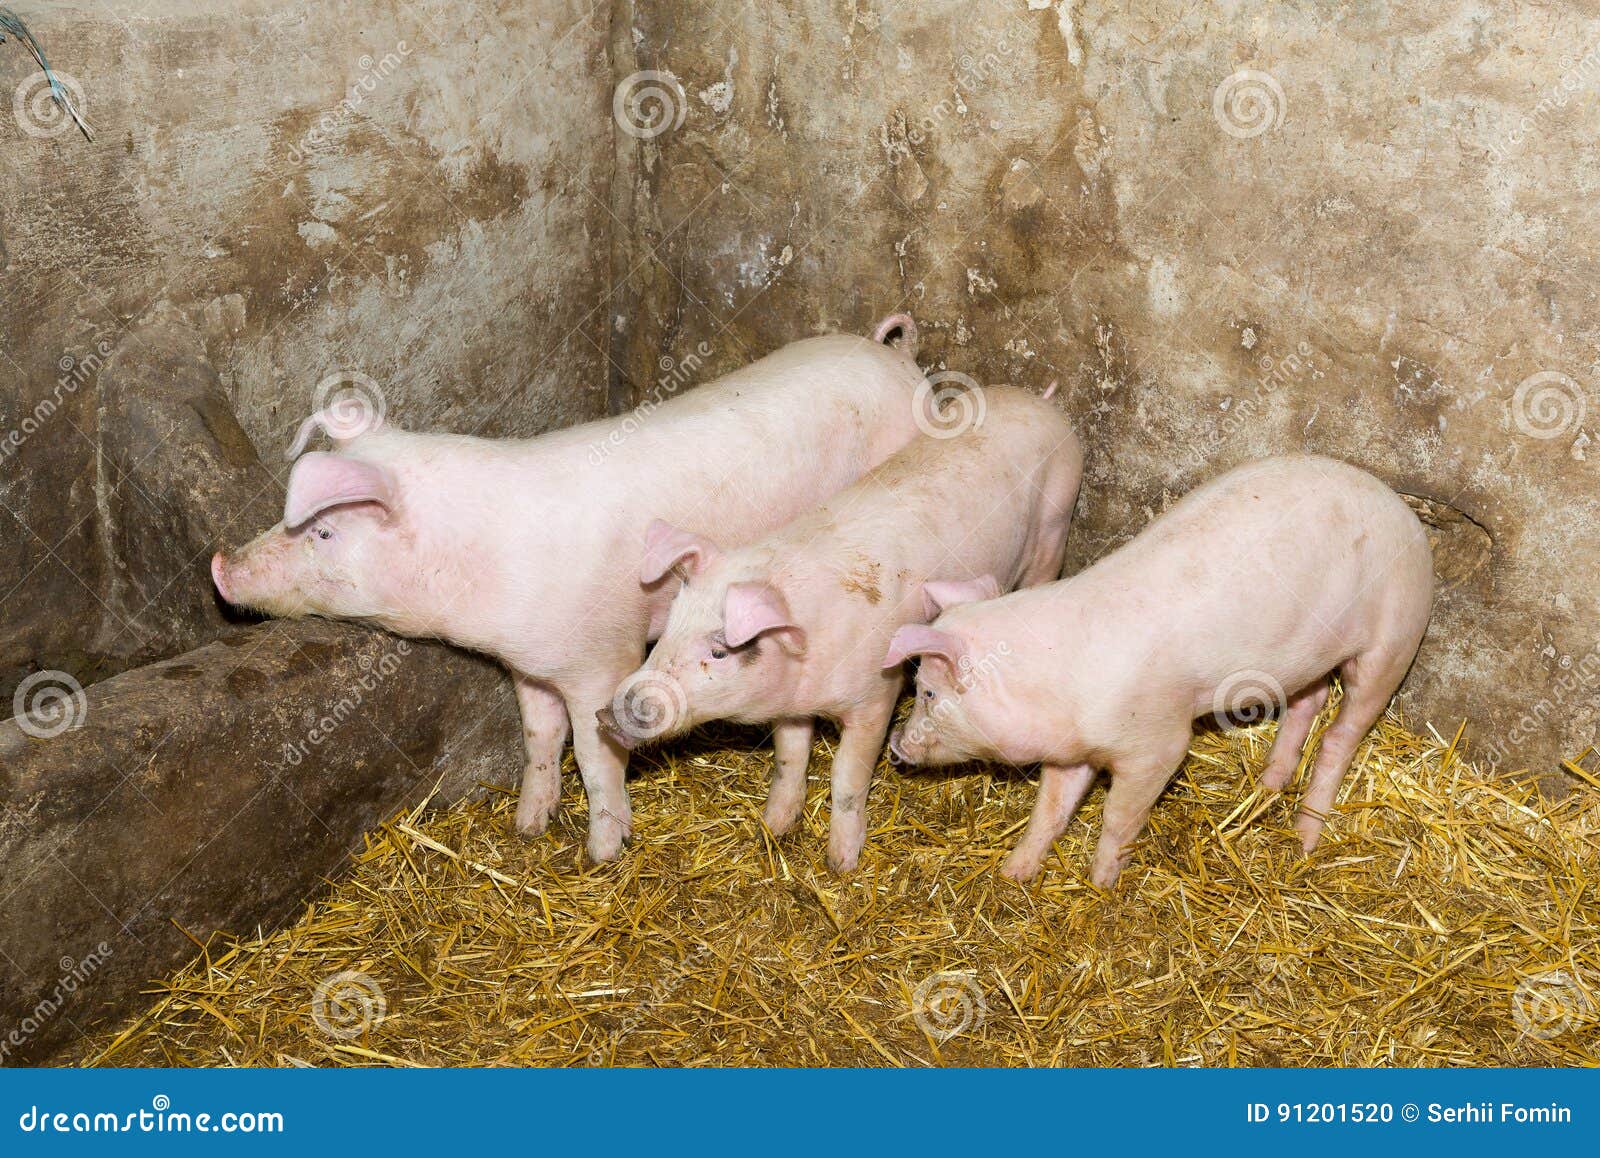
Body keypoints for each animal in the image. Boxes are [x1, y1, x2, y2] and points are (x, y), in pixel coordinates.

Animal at [210, 316, 929, 863]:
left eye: (325, 530)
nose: (220, 564)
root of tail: (894, 357)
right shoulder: (528, 663)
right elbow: (538, 735)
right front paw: (528, 825)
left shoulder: (601, 660)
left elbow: (593, 752)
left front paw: (602, 853)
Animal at [601, 384, 1083, 871]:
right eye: (670, 625)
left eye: (719, 651)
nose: (606, 714)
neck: (811, 649)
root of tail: (1040, 401)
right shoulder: (791, 703)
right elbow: (789, 757)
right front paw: (773, 829)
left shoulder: (877, 694)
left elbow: (846, 777)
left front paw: (841, 864)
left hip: (1055, 526)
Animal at [884, 455, 1434, 888]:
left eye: (926, 692)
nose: (895, 746)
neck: (1056, 684)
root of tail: (1403, 510)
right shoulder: (1071, 748)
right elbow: (1051, 809)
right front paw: (1013, 874)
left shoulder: (1157, 743)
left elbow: (1119, 816)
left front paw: (1101, 885)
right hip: (1306, 655)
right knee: (1310, 701)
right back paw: (1268, 785)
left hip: (1395, 636)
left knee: (1342, 733)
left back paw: (1302, 838)